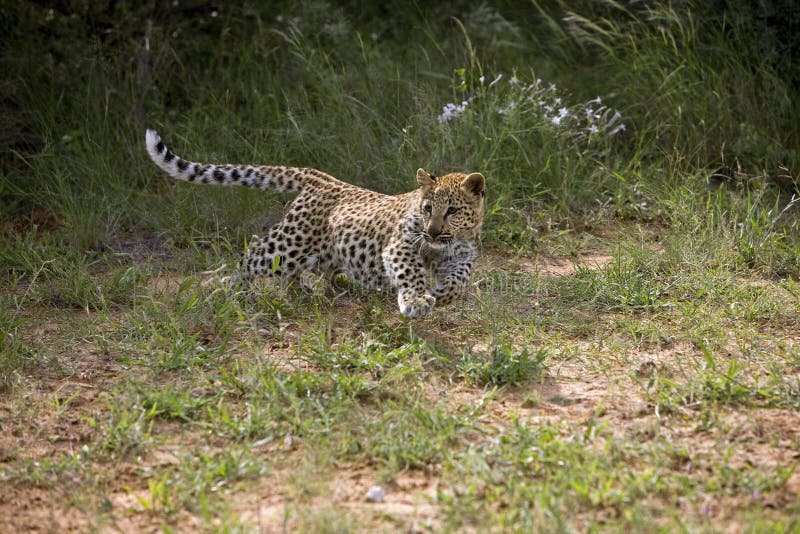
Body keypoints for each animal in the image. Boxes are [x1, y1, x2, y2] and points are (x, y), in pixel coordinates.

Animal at [145, 129, 486, 317]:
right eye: (427, 209)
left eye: (452, 211)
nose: (432, 231)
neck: (445, 243)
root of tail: (322, 178)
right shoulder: (400, 245)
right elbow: (411, 271)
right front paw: (417, 300)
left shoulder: (461, 256)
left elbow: (459, 281)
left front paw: (442, 293)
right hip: (288, 245)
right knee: (254, 252)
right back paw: (232, 291)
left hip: (321, 253)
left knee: (299, 271)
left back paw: (310, 293)